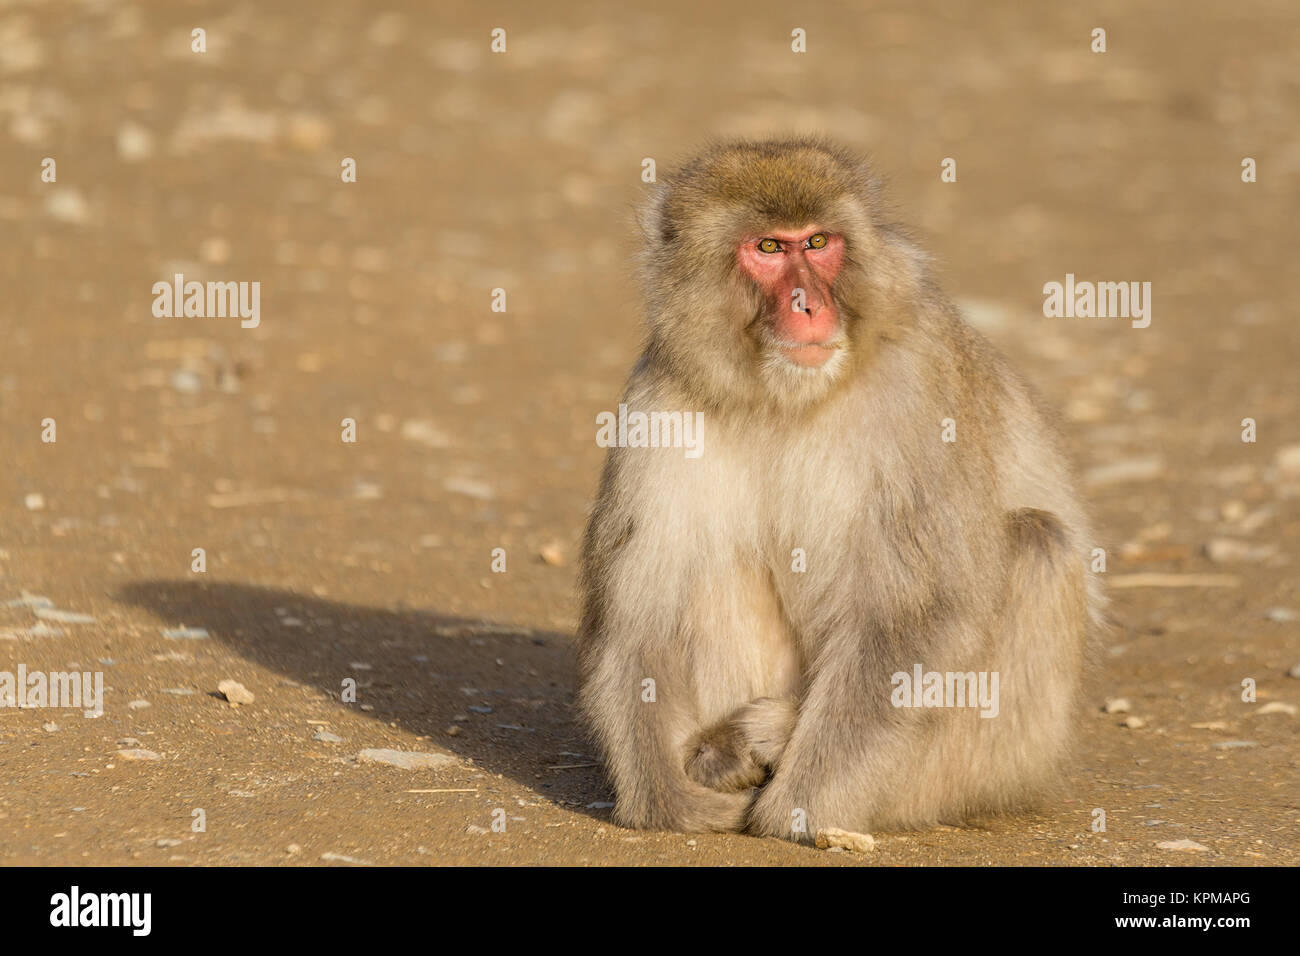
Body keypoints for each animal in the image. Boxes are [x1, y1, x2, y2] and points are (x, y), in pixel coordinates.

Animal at [575, 137, 1104, 841]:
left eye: (820, 242)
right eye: (770, 248)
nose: (809, 304)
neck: (786, 398)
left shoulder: (918, 384)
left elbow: (916, 617)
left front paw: (797, 807)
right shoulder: (658, 400)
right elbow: (638, 622)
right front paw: (669, 801)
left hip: (995, 762)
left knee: (1036, 543)